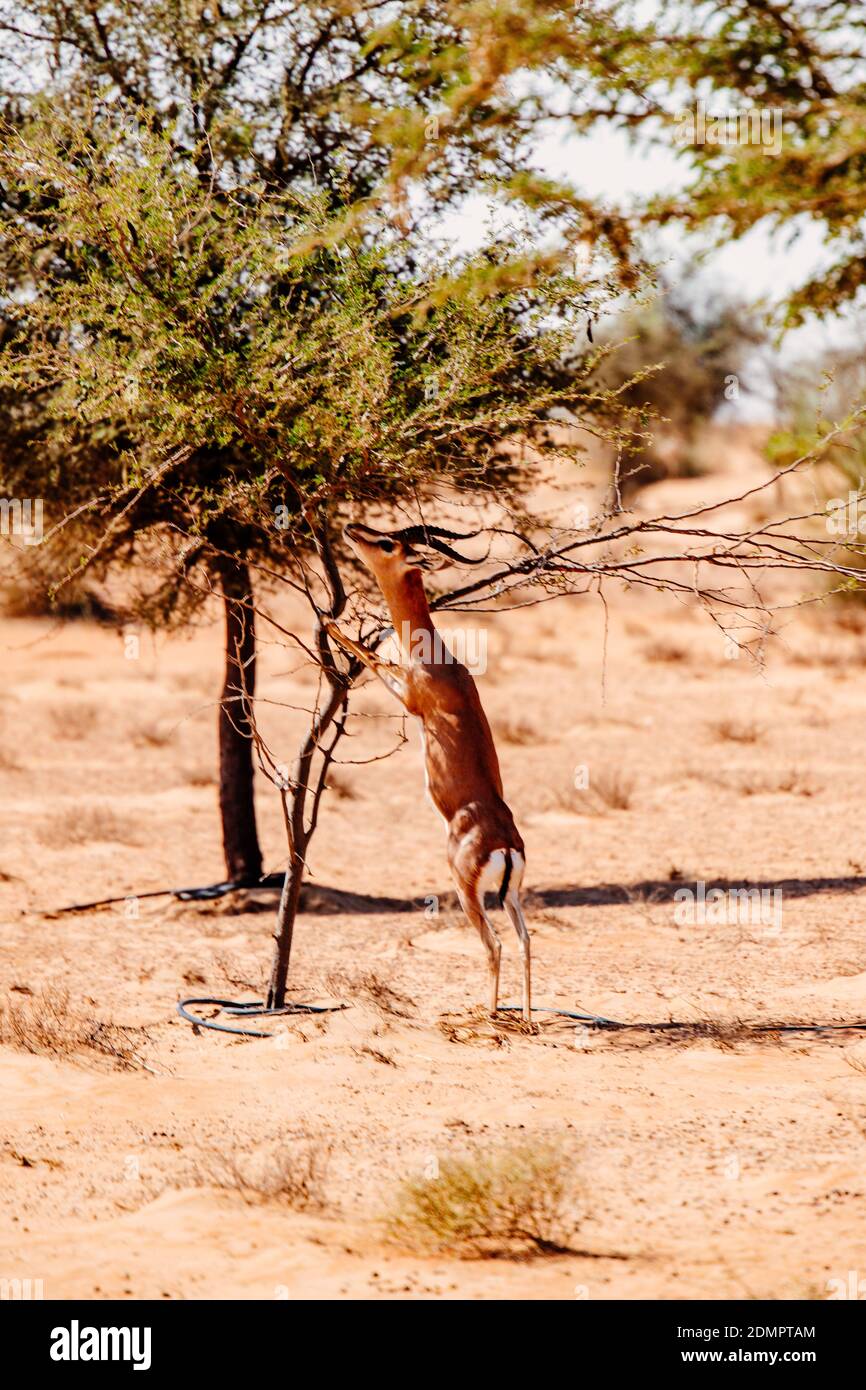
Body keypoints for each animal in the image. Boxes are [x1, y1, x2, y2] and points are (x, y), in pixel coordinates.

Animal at [326, 522, 532, 1020]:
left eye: (386, 544)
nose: (352, 528)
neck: (437, 659)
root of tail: (504, 843)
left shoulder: (406, 696)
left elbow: (370, 655)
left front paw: (329, 621)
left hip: (466, 892)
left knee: (495, 945)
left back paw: (489, 1015)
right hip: (511, 895)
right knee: (525, 942)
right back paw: (528, 1017)